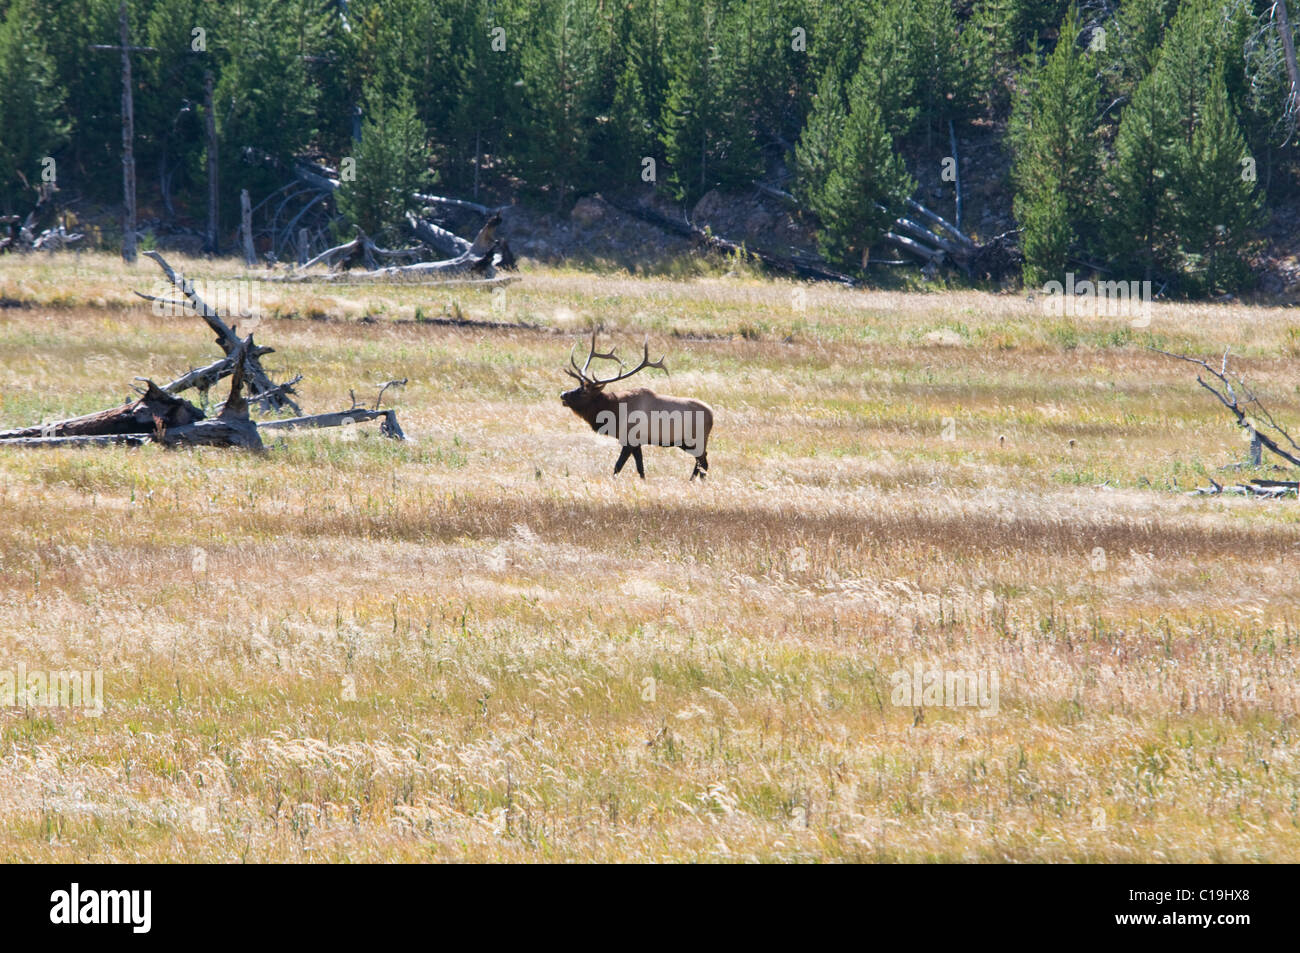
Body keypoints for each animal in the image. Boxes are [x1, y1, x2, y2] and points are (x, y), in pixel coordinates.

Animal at [560, 331, 713, 480]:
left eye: (584, 392)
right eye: (578, 386)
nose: (563, 394)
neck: (615, 412)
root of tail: (712, 414)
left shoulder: (630, 440)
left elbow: (618, 466)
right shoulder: (636, 443)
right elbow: (640, 468)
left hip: (696, 439)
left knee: (703, 461)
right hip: (684, 442)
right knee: (701, 460)